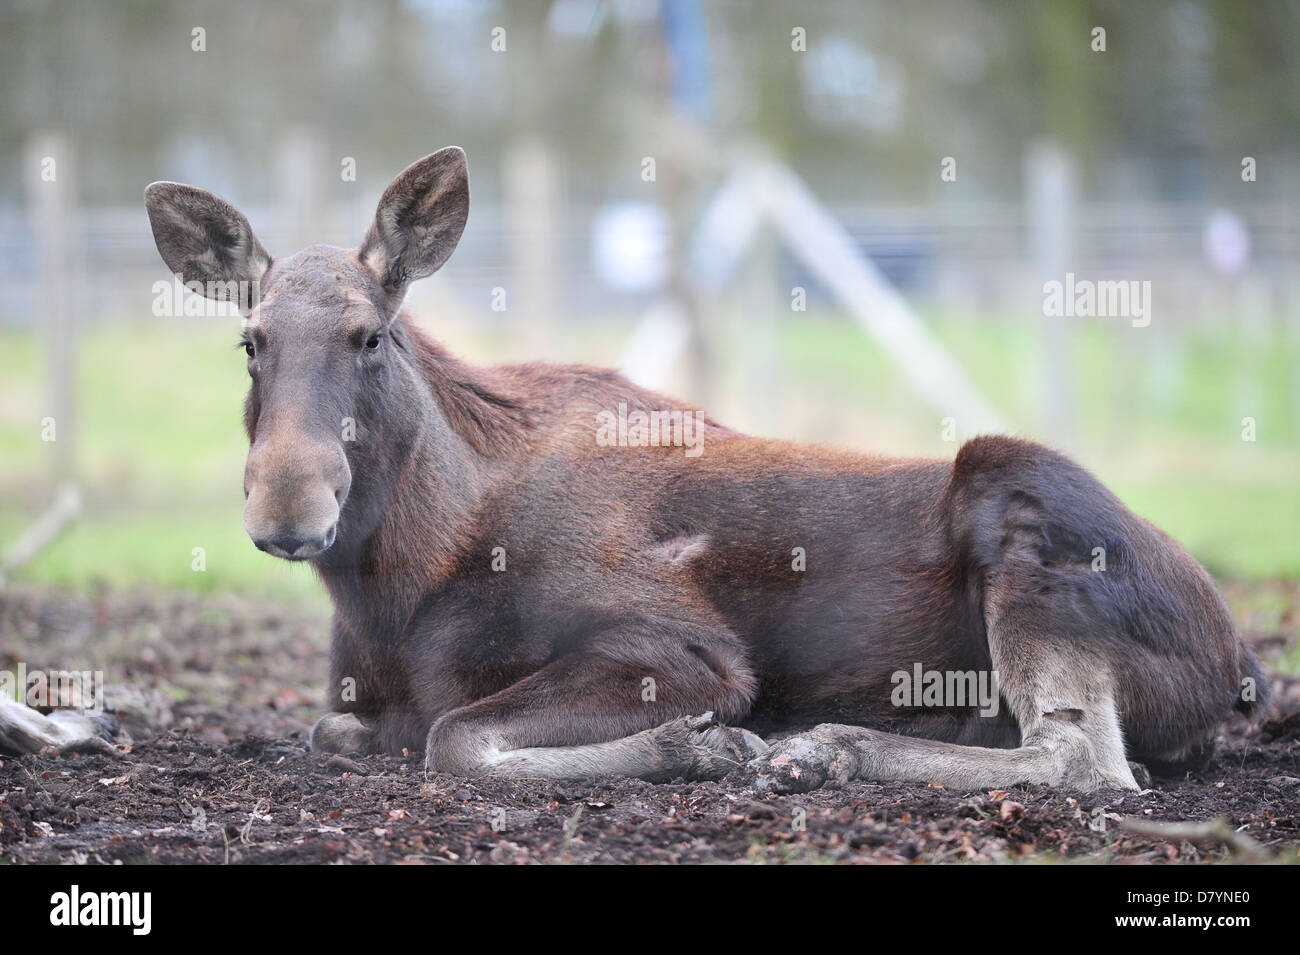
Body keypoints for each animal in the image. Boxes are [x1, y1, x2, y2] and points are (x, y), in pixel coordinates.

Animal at [98, 147, 1258, 789]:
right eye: (249, 341)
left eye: (369, 336)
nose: (287, 506)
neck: (396, 586)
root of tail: (1238, 663)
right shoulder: (355, 701)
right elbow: (335, 729)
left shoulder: (685, 650)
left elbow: (455, 737)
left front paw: (698, 749)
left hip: (1021, 500)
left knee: (1086, 763)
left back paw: (824, 748)